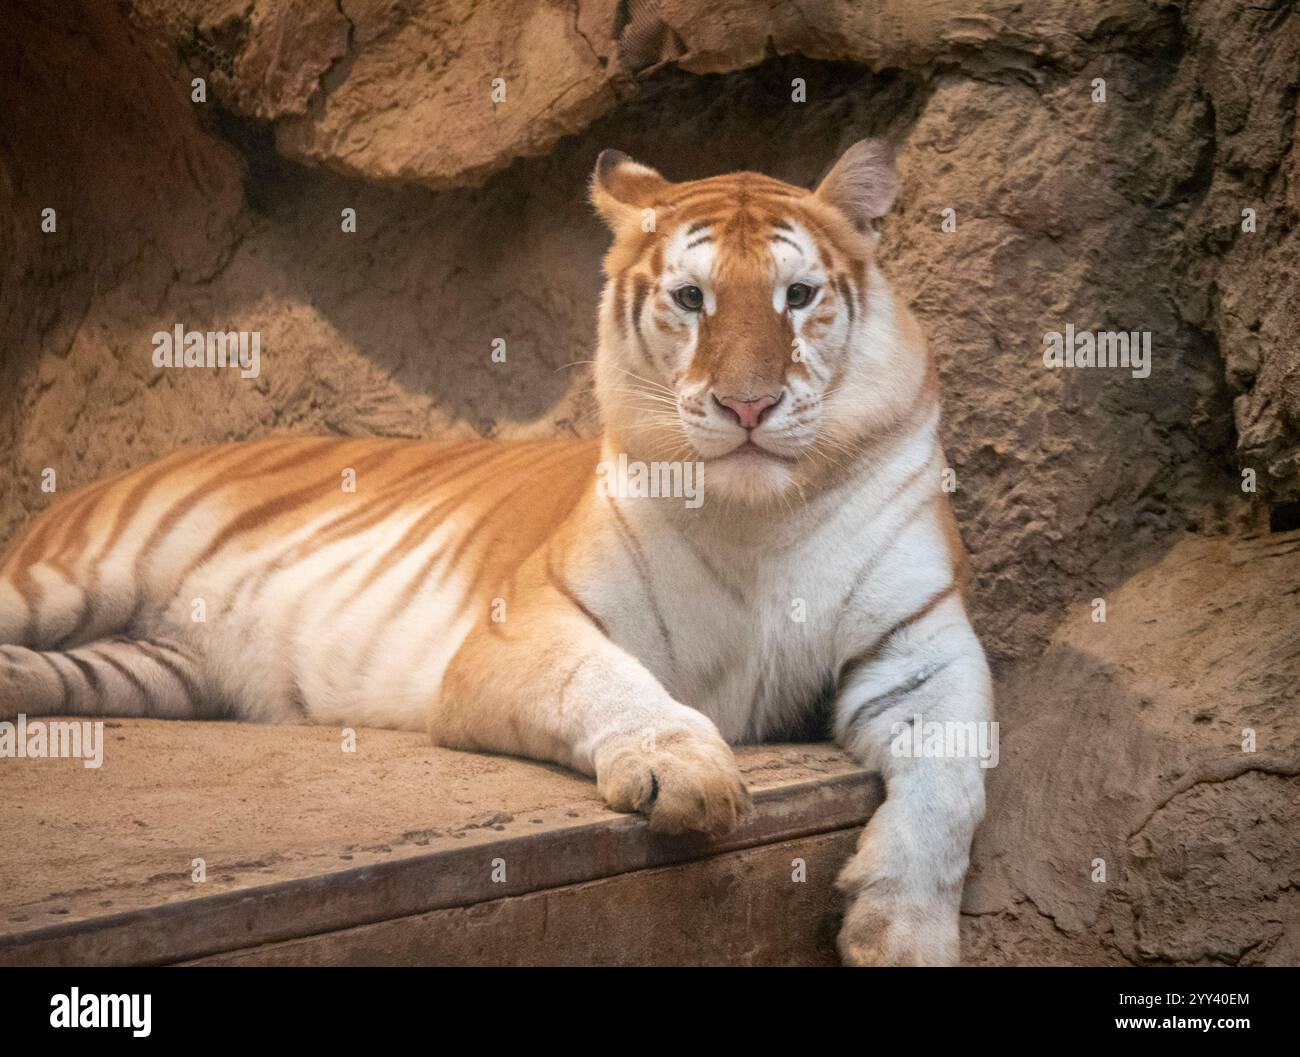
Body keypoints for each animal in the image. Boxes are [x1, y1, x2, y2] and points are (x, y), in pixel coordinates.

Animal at [0, 139, 993, 966]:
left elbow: (952, 780)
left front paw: (901, 931)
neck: (760, 518)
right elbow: (610, 682)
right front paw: (688, 769)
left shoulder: (921, 644)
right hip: (71, 577)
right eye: (691, 298)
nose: (747, 405)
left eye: (798, 296)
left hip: (151, 670)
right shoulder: (529, 623)